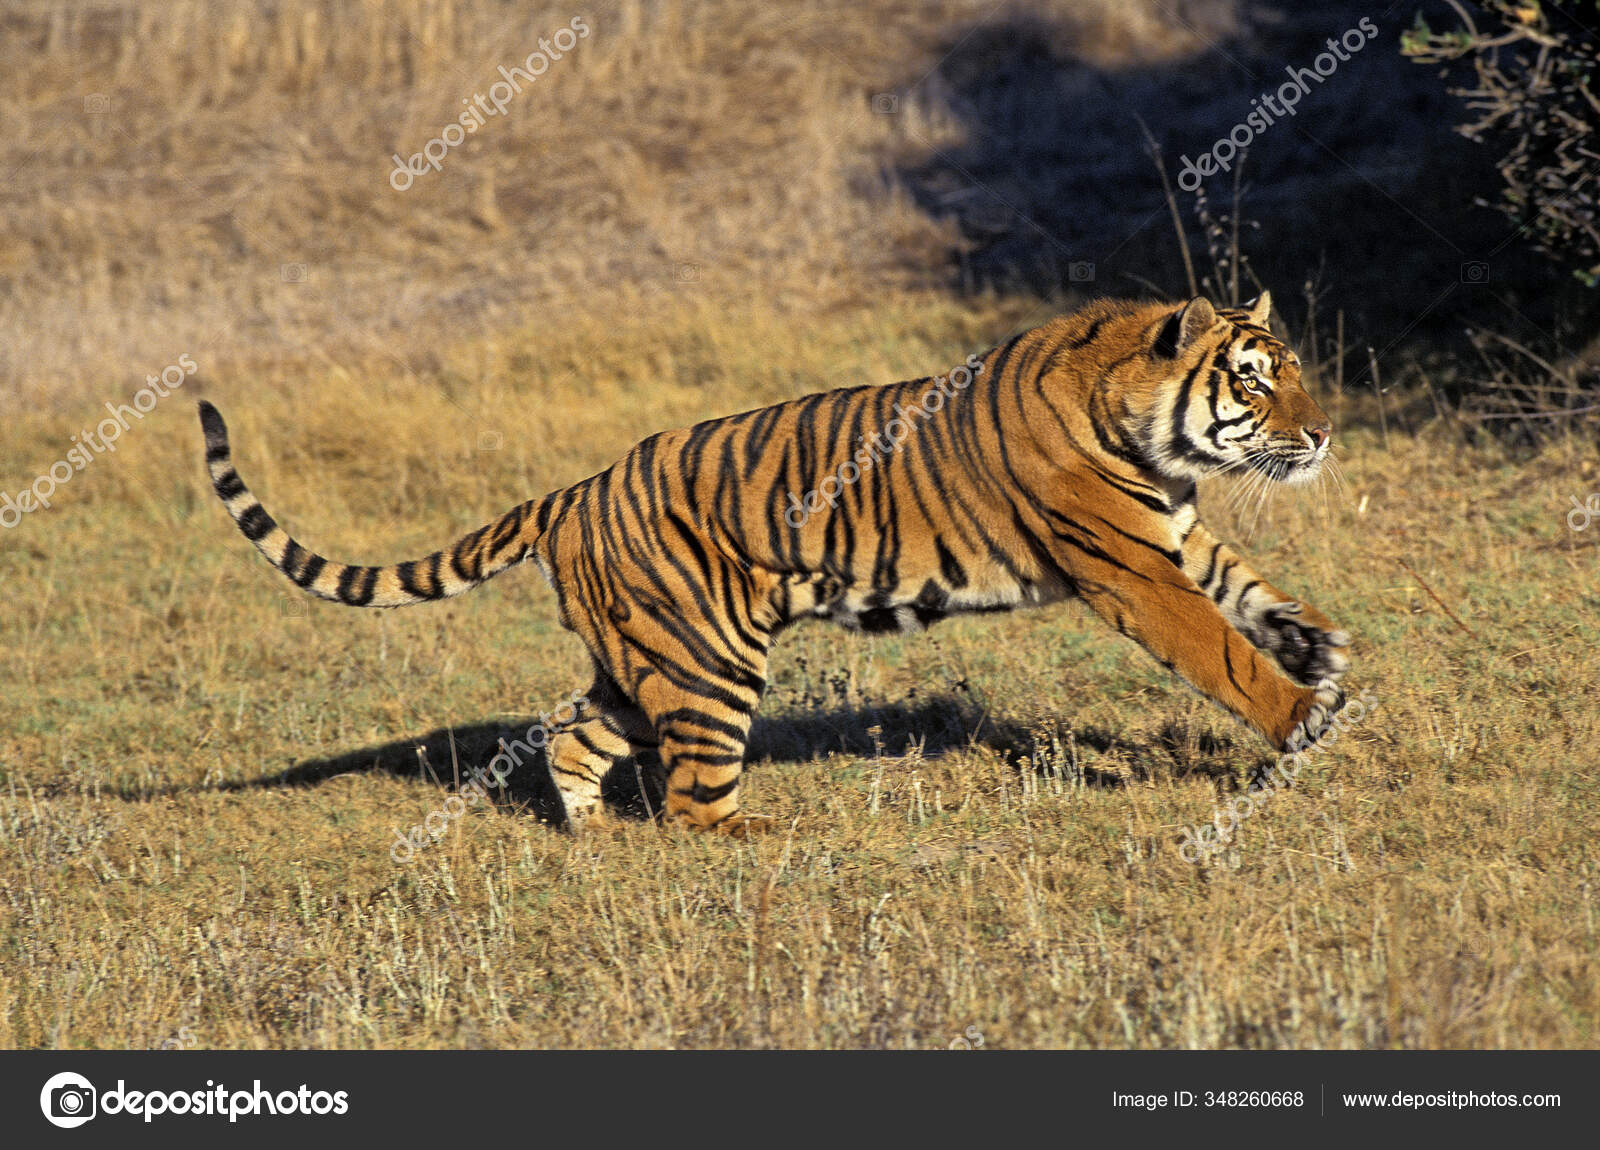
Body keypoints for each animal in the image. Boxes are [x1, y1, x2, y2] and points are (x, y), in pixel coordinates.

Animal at [198, 290, 1349, 835]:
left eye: (1293, 372)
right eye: (1254, 380)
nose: (1325, 432)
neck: (1149, 432)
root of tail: (576, 488)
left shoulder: (1172, 531)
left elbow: (1250, 594)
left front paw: (1323, 654)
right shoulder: (1130, 569)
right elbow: (1218, 648)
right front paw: (1300, 719)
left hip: (641, 662)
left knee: (573, 733)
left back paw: (589, 838)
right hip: (704, 662)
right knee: (694, 803)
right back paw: (769, 833)